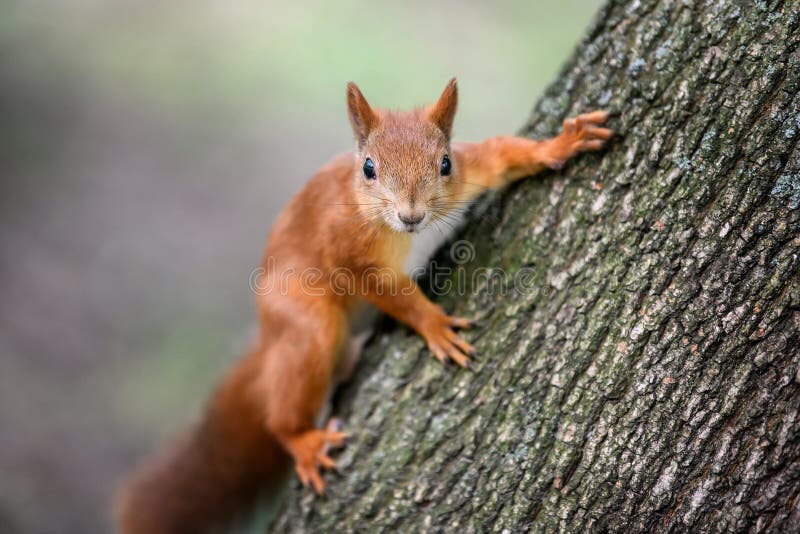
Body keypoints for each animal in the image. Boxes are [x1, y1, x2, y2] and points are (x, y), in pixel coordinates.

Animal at [116, 78, 612, 533]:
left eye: (445, 163)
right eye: (369, 168)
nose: (411, 215)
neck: (404, 231)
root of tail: (268, 336)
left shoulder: (472, 172)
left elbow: (504, 153)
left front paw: (560, 143)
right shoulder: (350, 254)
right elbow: (394, 296)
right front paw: (434, 325)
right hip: (306, 324)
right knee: (285, 406)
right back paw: (302, 440)